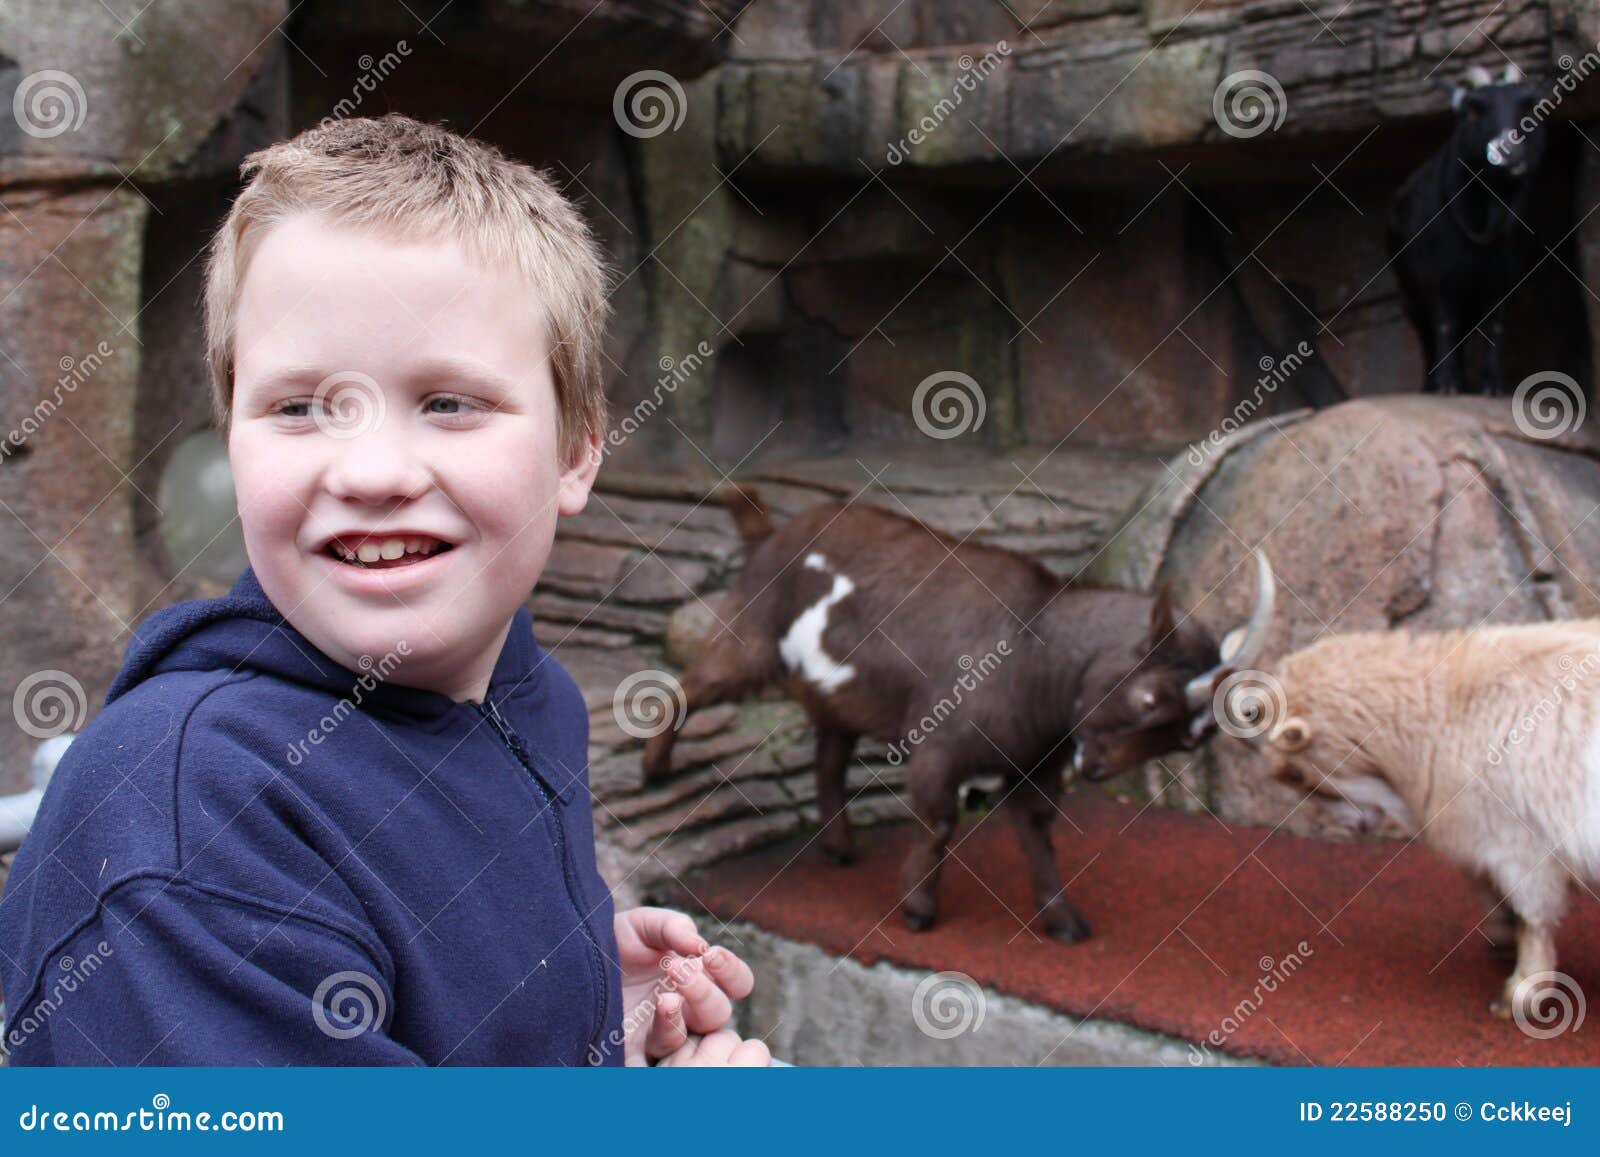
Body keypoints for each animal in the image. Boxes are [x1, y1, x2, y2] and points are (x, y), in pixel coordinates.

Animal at [642, 486, 1275, 942]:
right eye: (1148, 700)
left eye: (1191, 739)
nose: (1096, 769)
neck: (1034, 648)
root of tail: (771, 534)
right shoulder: (939, 745)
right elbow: (940, 820)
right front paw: (918, 910)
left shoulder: (1033, 762)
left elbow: (1037, 831)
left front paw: (1064, 922)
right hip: (753, 636)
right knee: (692, 684)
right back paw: (654, 769)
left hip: (837, 694)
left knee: (828, 756)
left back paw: (840, 848)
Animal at [1256, 623, 1600, 1021]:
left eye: (1296, 774)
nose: (1356, 826)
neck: (1445, 710)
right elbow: (1493, 894)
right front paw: (1503, 939)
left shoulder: (1520, 844)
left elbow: (1534, 918)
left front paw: (1521, 992)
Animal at [1388, 63, 1549, 395]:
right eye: (1475, 108)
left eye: (1529, 103)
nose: (1509, 153)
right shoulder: (1439, 279)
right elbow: (1444, 326)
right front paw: (1447, 386)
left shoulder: (1503, 280)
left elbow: (1494, 328)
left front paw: (1491, 387)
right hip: (1411, 294)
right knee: (1430, 335)